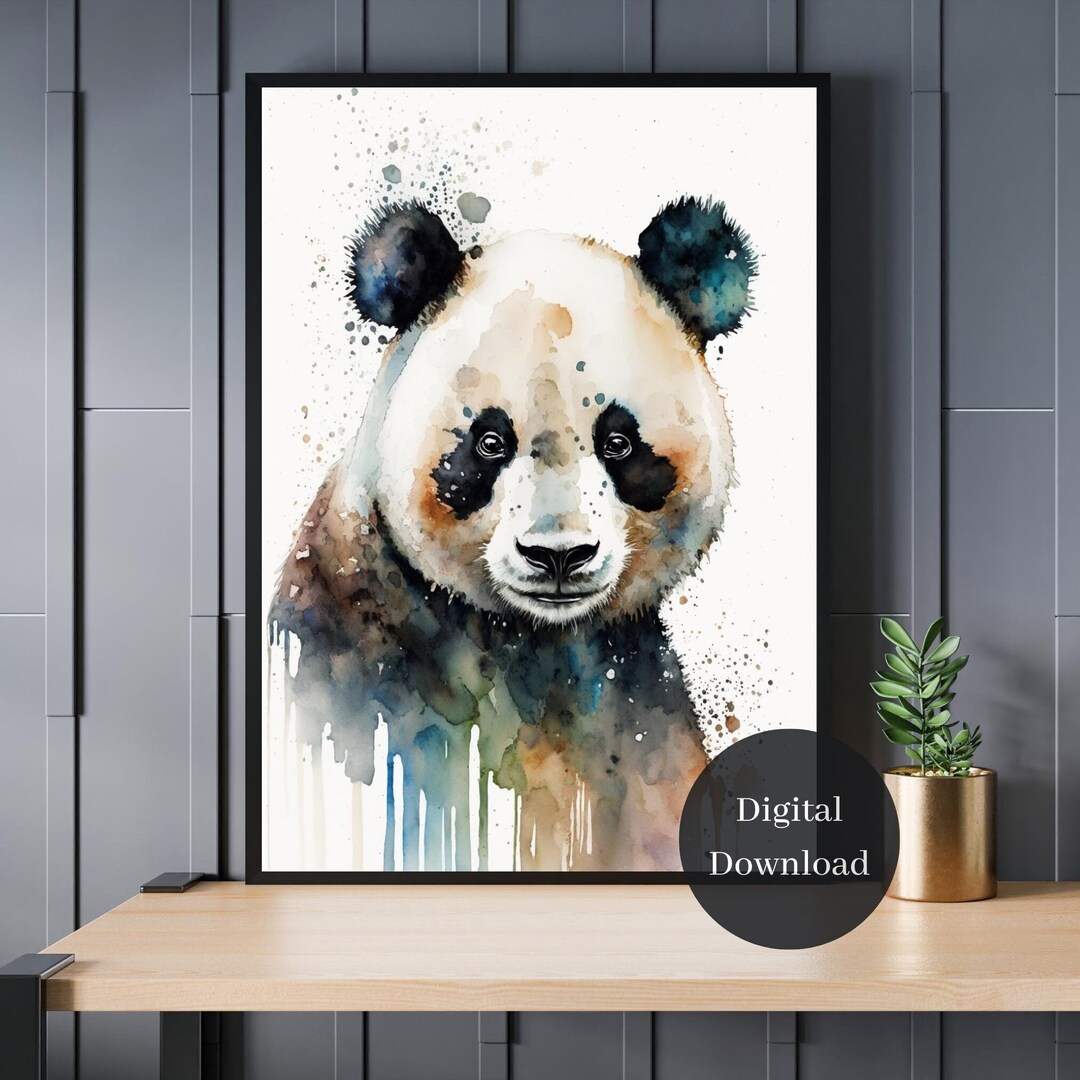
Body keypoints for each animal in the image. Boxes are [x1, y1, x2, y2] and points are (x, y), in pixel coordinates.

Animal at [269, 196, 756, 873]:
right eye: (490, 443)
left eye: (618, 442)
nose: (558, 556)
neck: (533, 639)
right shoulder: (356, 653)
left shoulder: (634, 707)